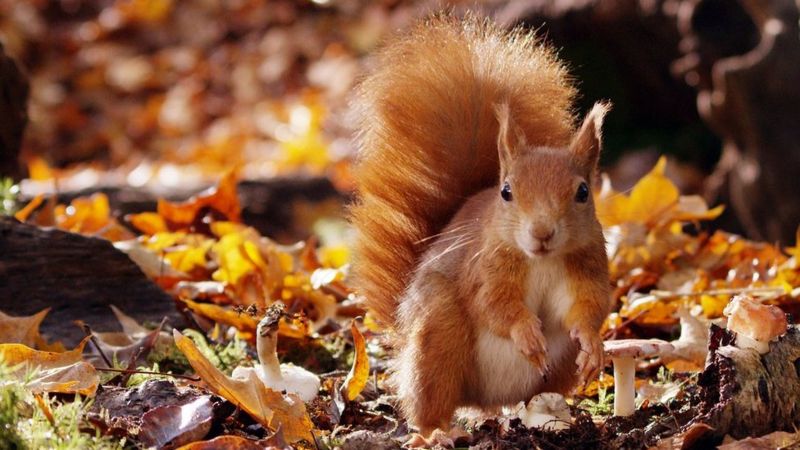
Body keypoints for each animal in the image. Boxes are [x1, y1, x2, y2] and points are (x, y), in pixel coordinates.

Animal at [349, 14, 613, 441]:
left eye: (583, 192)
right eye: (507, 192)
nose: (542, 234)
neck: (541, 260)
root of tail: (485, 401)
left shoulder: (588, 264)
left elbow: (590, 306)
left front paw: (593, 344)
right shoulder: (485, 267)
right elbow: (492, 304)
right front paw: (525, 331)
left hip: (555, 371)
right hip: (438, 337)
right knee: (431, 403)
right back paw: (436, 433)